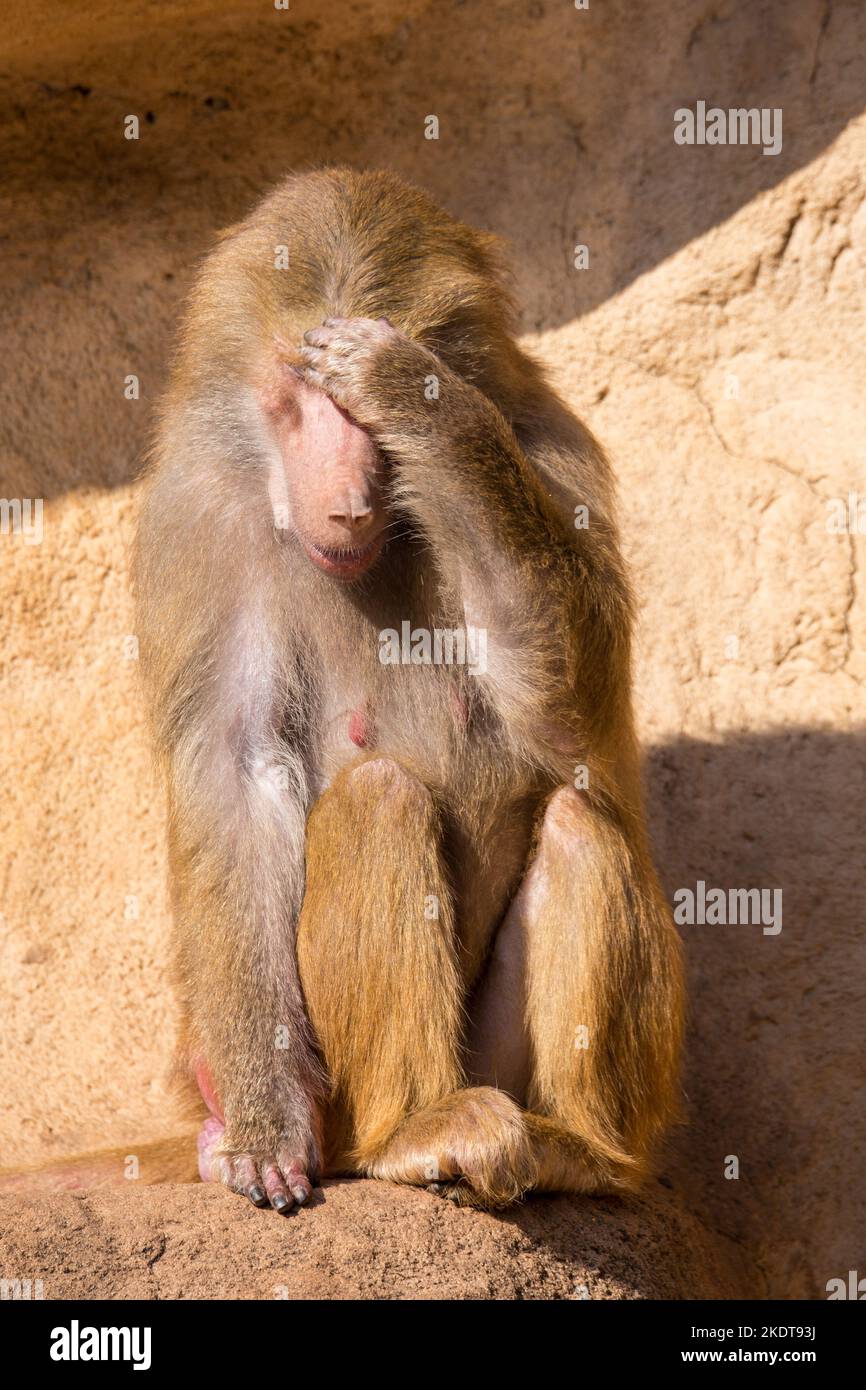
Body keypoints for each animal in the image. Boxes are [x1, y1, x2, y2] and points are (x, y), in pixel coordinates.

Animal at [0, 168, 684, 1211]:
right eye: (299, 395)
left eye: (356, 406)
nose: (352, 498)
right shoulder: (197, 514)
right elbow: (238, 772)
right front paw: (259, 1127)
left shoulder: (557, 452)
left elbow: (571, 723)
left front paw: (424, 402)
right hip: (340, 1090)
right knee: (379, 799)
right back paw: (408, 1134)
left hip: (496, 1061)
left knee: (579, 823)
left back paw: (581, 1152)